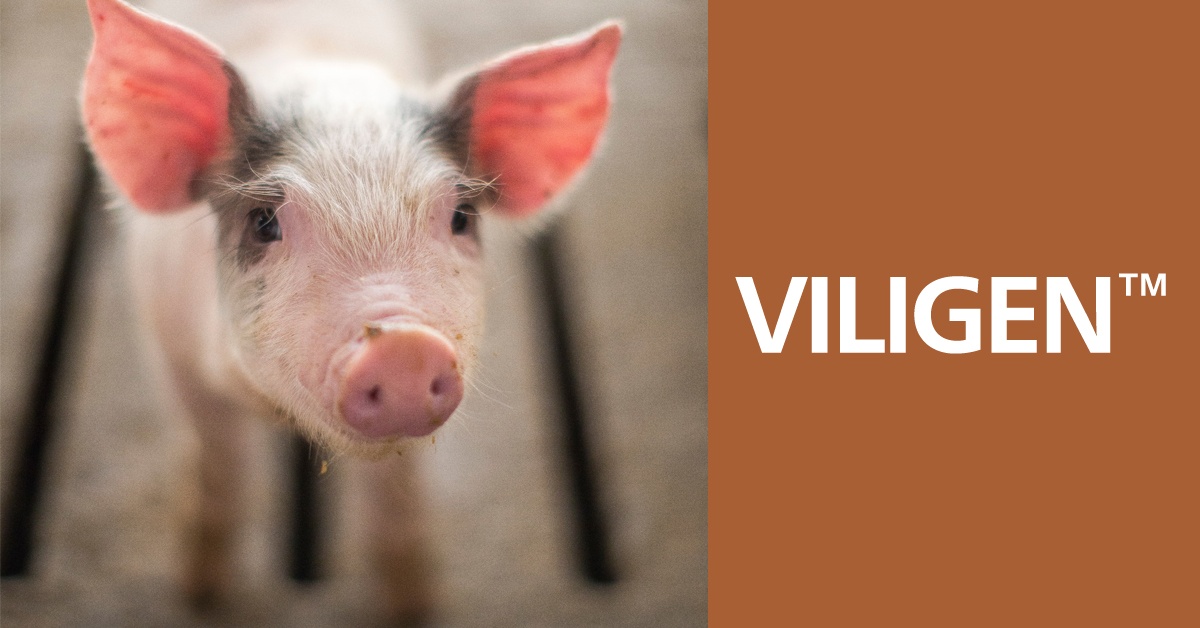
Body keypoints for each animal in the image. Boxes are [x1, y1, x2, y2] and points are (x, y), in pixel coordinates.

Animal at [80, 0, 620, 620]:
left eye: (461, 215)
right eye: (264, 222)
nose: (404, 348)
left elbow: (396, 505)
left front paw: (414, 607)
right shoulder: (170, 349)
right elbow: (218, 466)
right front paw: (200, 596)